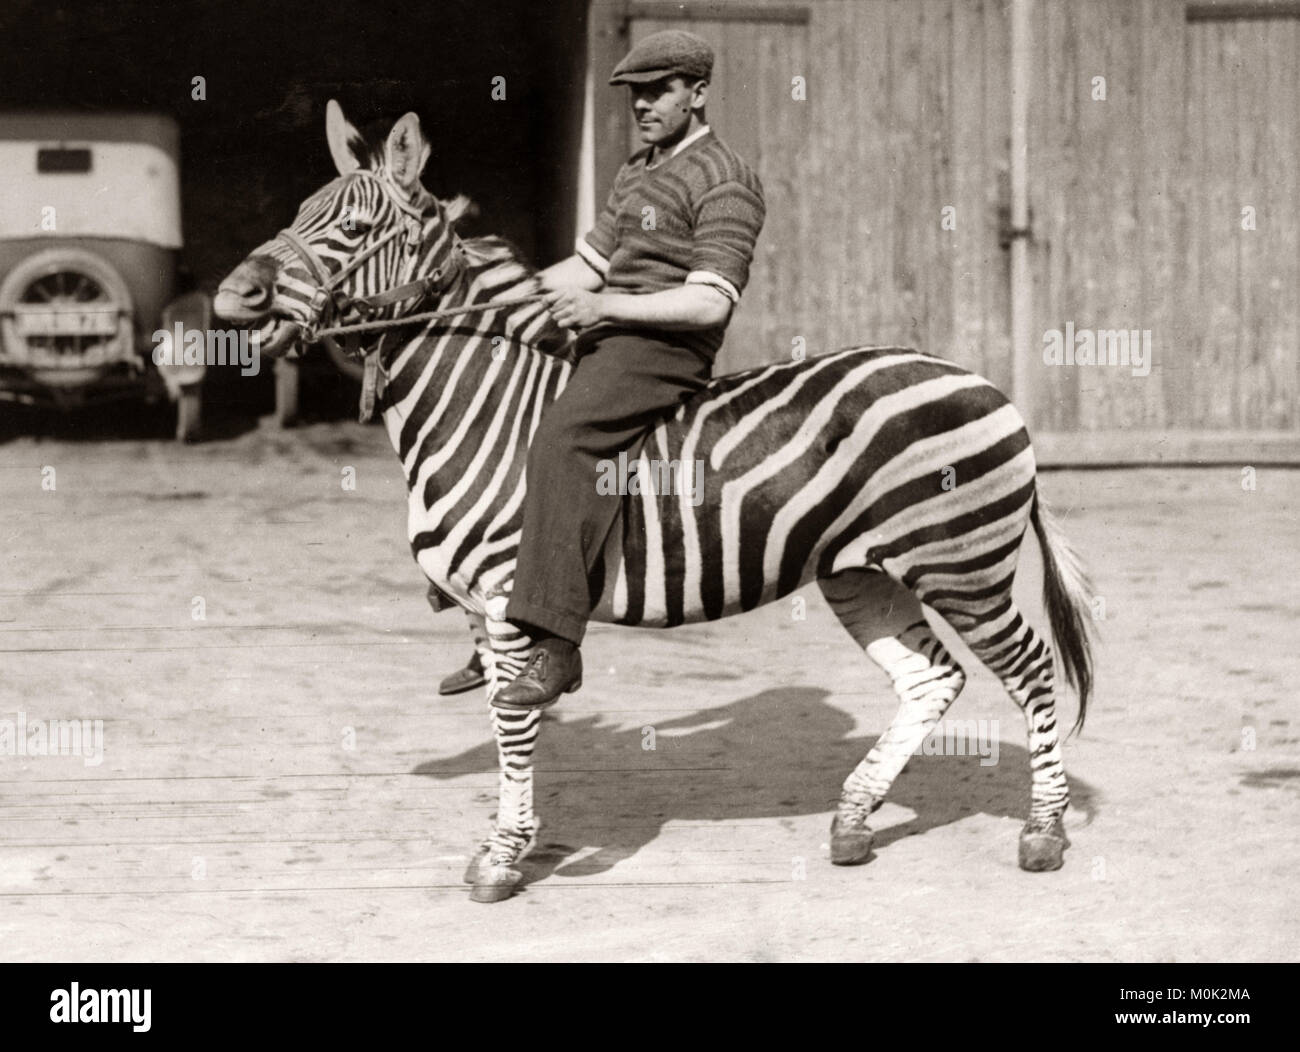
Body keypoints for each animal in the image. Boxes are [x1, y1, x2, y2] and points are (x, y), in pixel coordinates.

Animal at [215, 102, 1094, 903]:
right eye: (299, 212)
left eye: (356, 228)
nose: (229, 297)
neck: (484, 407)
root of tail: (989, 385)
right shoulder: (478, 610)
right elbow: (504, 724)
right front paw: (512, 838)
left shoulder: (504, 600)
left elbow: (513, 721)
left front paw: (503, 857)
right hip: (861, 571)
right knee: (930, 679)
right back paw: (852, 822)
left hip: (962, 568)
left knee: (1032, 671)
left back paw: (1043, 834)